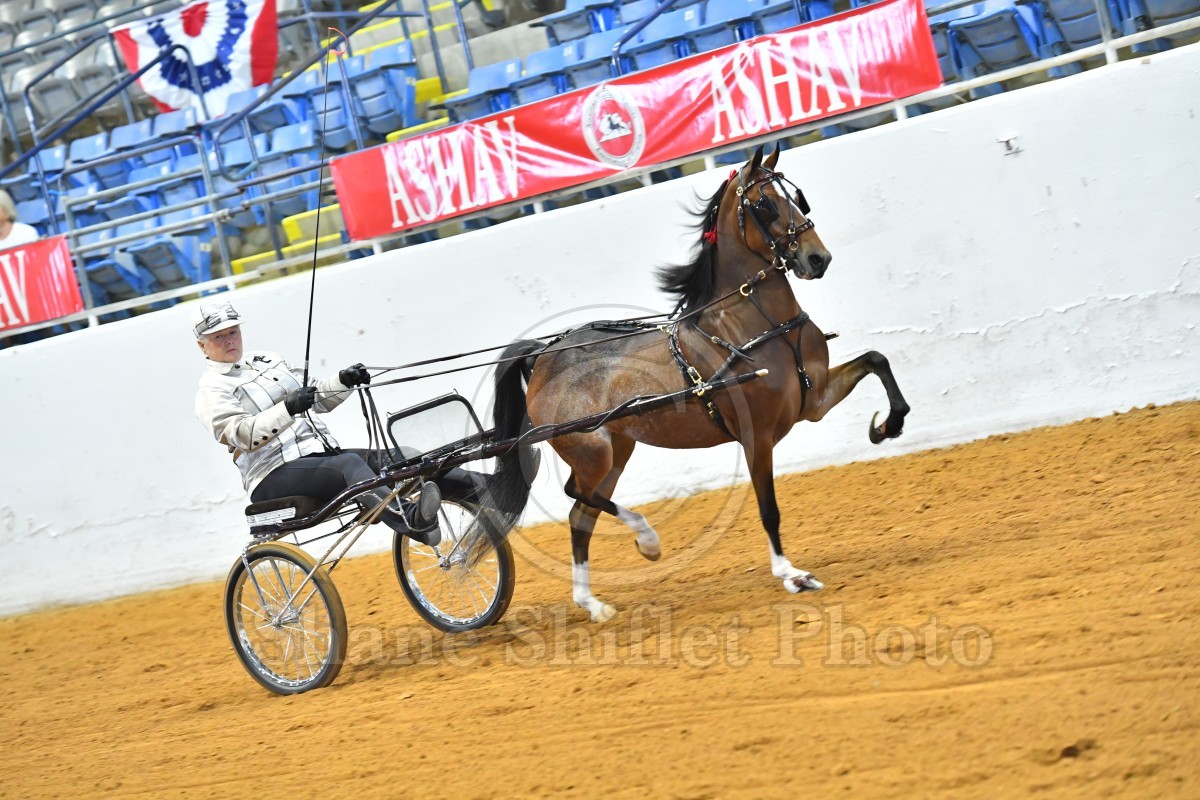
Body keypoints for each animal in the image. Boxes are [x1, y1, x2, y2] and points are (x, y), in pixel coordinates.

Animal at [484, 143, 910, 622]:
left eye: (797, 197)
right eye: (765, 204)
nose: (818, 259)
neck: (754, 326)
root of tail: (543, 355)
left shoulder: (814, 401)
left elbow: (877, 359)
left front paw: (888, 424)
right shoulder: (757, 436)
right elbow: (769, 509)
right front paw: (791, 574)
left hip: (617, 450)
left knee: (581, 513)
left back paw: (592, 603)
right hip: (591, 451)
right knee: (577, 493)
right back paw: (647, 539)